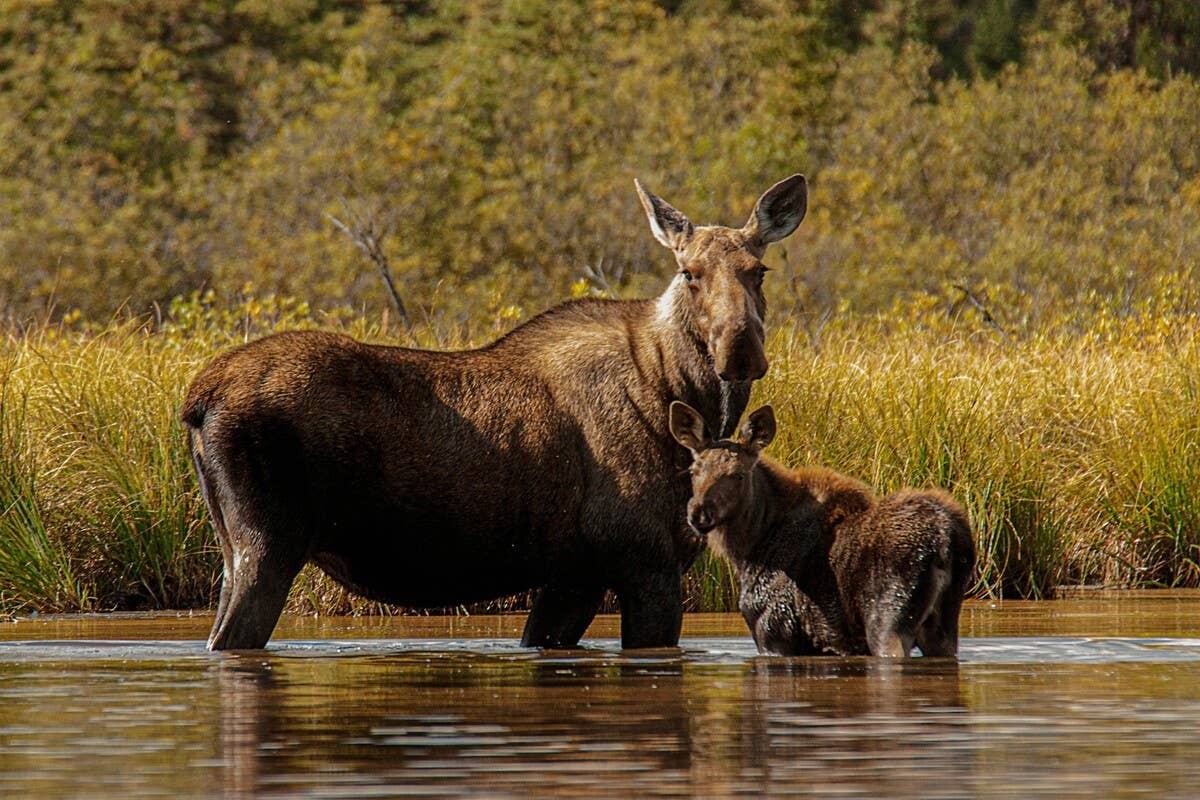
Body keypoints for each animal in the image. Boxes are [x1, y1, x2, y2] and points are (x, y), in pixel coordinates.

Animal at [181, 175, 808, 650]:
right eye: (688, 272)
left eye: (759, 270)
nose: (740, 347)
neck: (681, 393)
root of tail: (198, 401)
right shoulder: (647, 560)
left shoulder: (575, 576)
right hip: (268, 541)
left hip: (230, 546)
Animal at [669, 401, 974, 657]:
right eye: (694, 471)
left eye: (738, 474)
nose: (698, 513)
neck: (749, 548)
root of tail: (945, 539)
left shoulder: (773, 630)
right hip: (944, 624)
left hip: (888, 620)